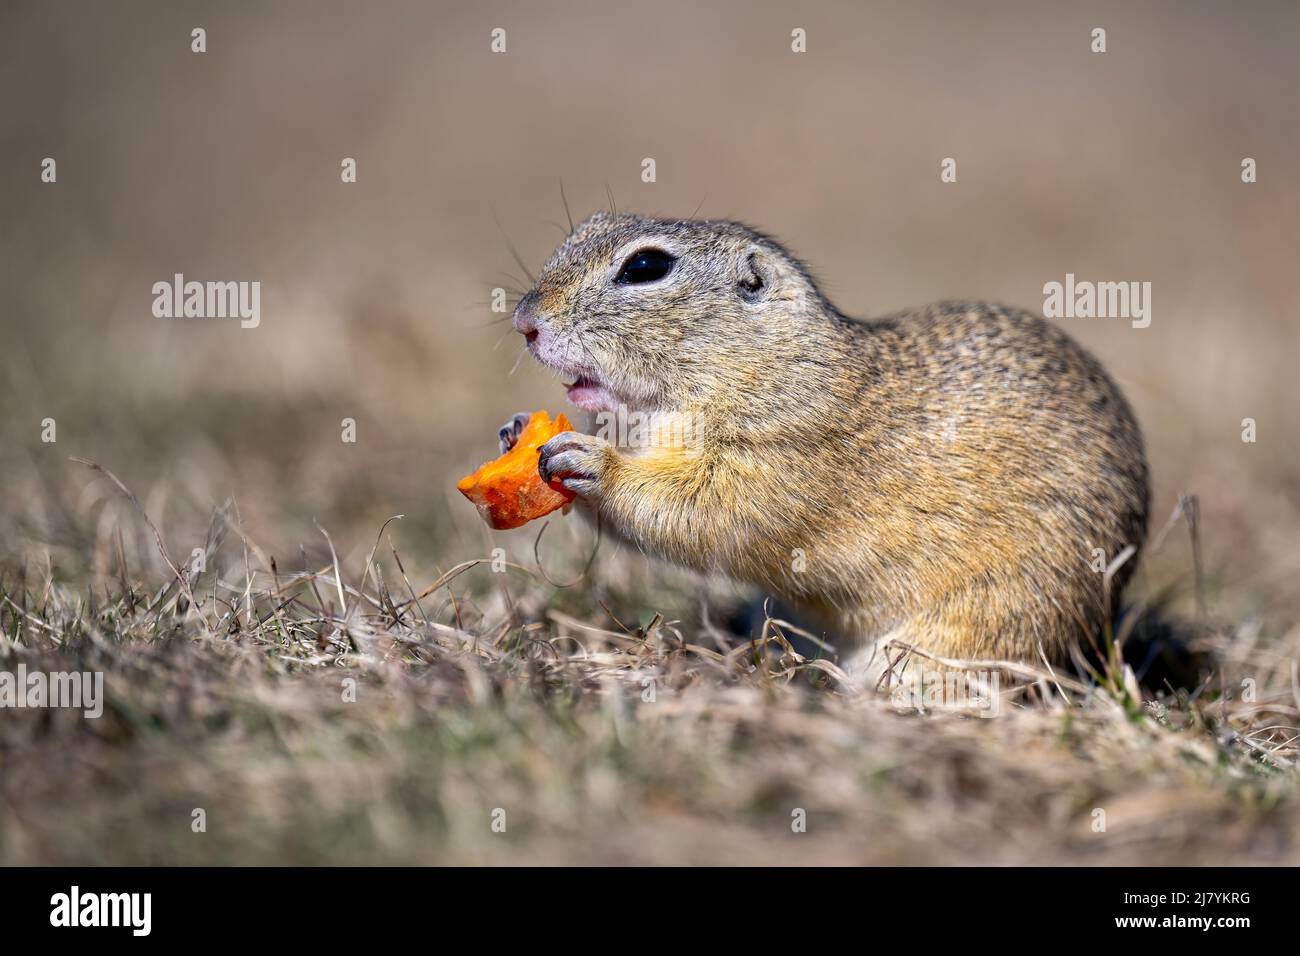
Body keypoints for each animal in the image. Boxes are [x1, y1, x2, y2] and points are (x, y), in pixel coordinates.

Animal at [500, 212, 1150, 686]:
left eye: (645, 267)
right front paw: (518, 430)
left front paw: (593, 461)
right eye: (582, 229)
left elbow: (702, 513)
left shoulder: (779, 451)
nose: (525, 320)